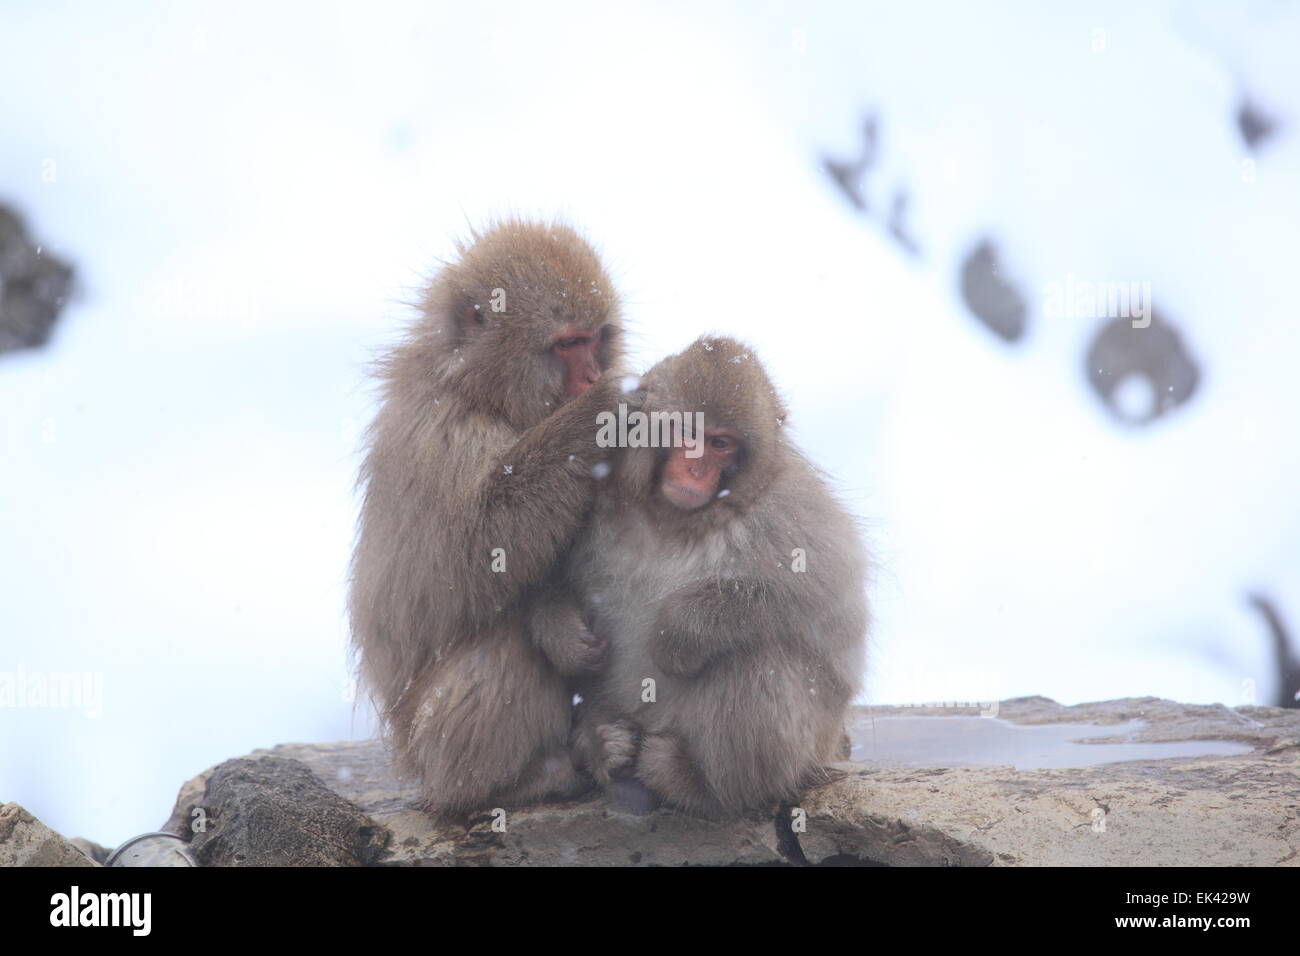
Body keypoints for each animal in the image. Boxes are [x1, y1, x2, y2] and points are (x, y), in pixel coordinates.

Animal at [349, 218, 632, 815]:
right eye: (567, 344)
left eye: (598, 337)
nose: (592, 375)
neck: (483, 392)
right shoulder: (443, 432)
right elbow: (472, 552)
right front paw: (605, 409)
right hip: (424, 743)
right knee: (506, 646)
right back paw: (505, 784)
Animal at [542, 335, 868, 819]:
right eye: (684, 432)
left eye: (719, 443)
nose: (695, 469)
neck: (672, 519)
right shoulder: (595, 492)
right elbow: (541, 580)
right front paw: (568, 641)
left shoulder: (791, 503)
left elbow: (833, 609)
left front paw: (678, 632)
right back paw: (605, 746)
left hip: (806, 746)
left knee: (755, 654)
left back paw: (699, 783)